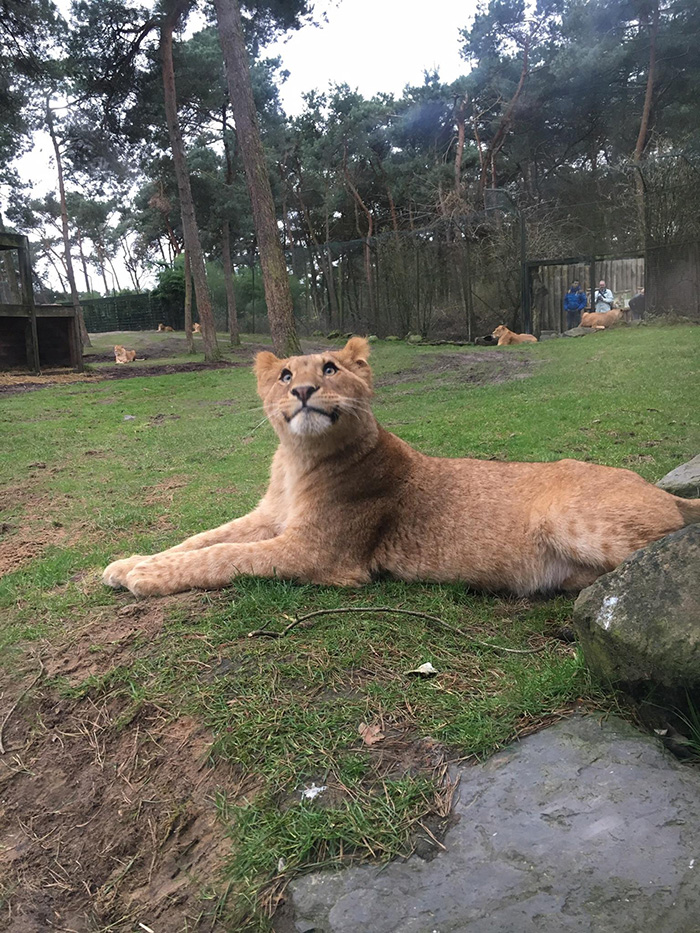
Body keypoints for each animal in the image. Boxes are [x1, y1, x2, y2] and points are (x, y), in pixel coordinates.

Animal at [103, 338, 700, 598]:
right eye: (284, 376)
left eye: (330, 368)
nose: (302, 390)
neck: (297, 460)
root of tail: (657, 489)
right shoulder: (269, 517)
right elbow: (203, 537)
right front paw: (127, 563)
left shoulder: (320, 553)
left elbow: (227, 556)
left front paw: (144, 576)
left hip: (572, 520)